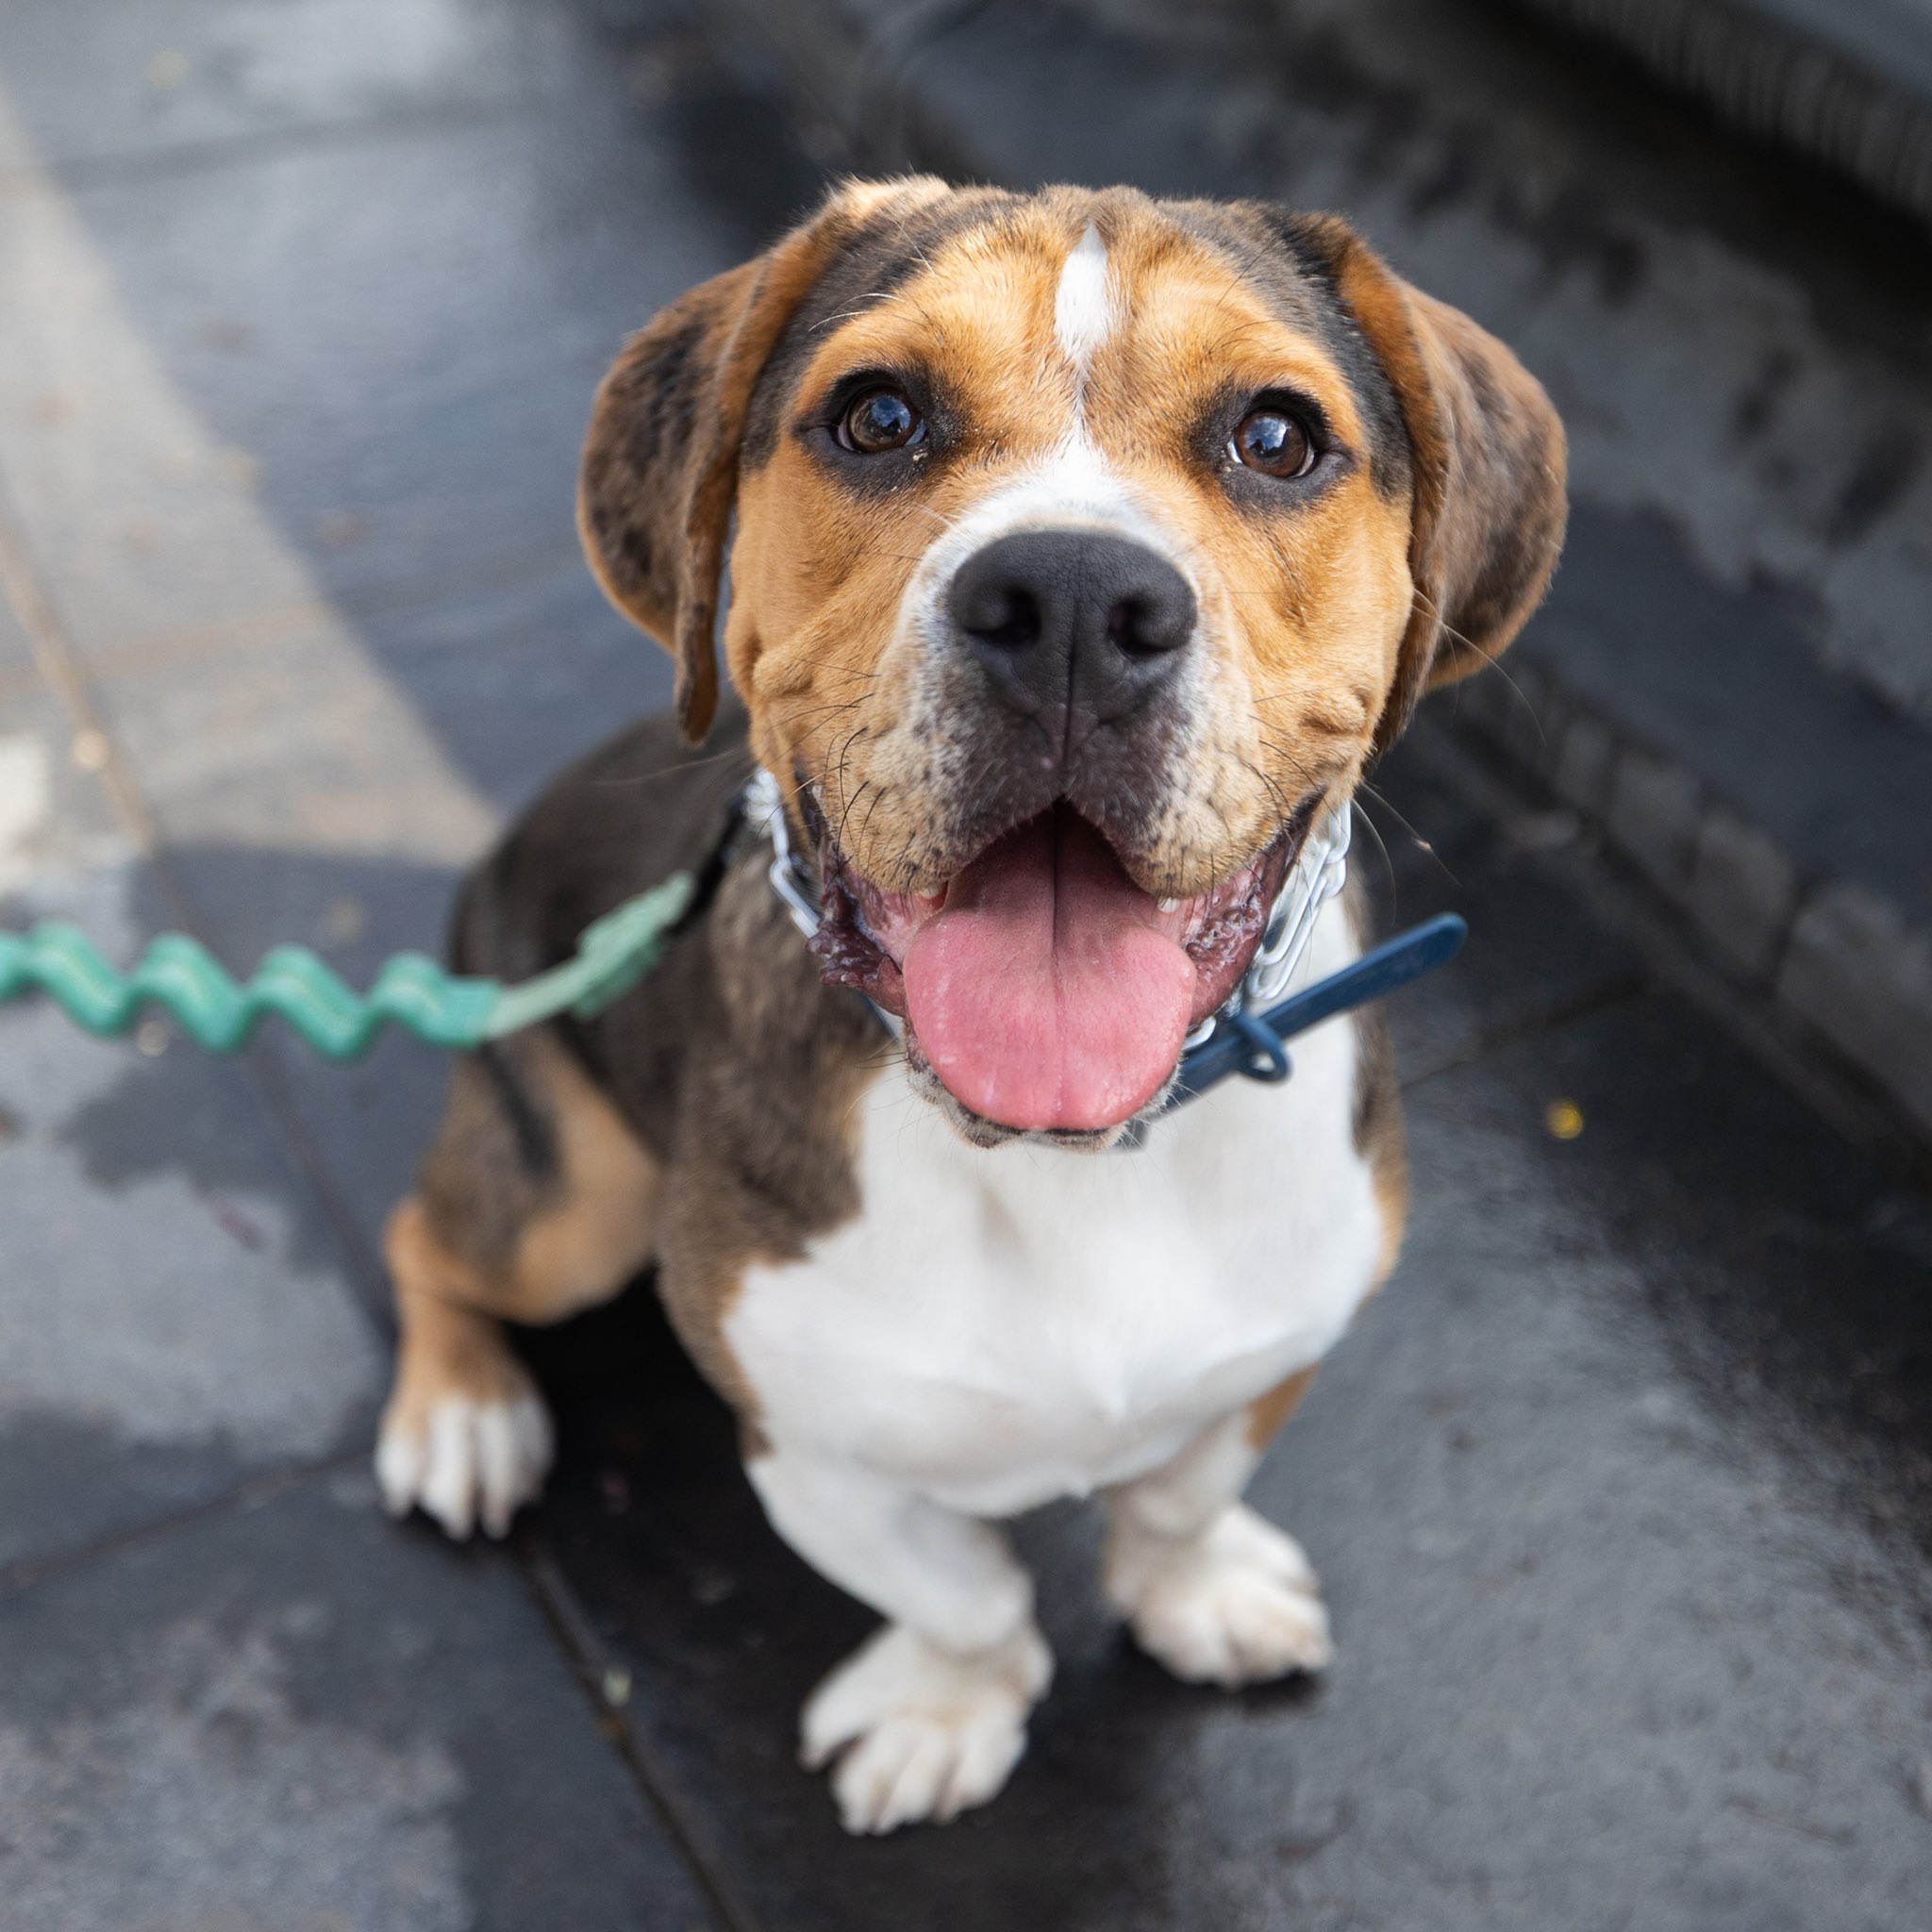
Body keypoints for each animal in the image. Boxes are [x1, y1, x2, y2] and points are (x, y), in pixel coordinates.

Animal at [369, 181, 1560, 1839]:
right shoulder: (808, 1439)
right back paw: (462, 1413)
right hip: (574, 1202)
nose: (1070, 600)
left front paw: (1196, 1591)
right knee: (423, 1238)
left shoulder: (1283, 1339)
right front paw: (949, 1712)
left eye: (1278, 437)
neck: (1075, 1162)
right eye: (877, 416)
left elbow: (1182, 1494)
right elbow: (962, 1589)